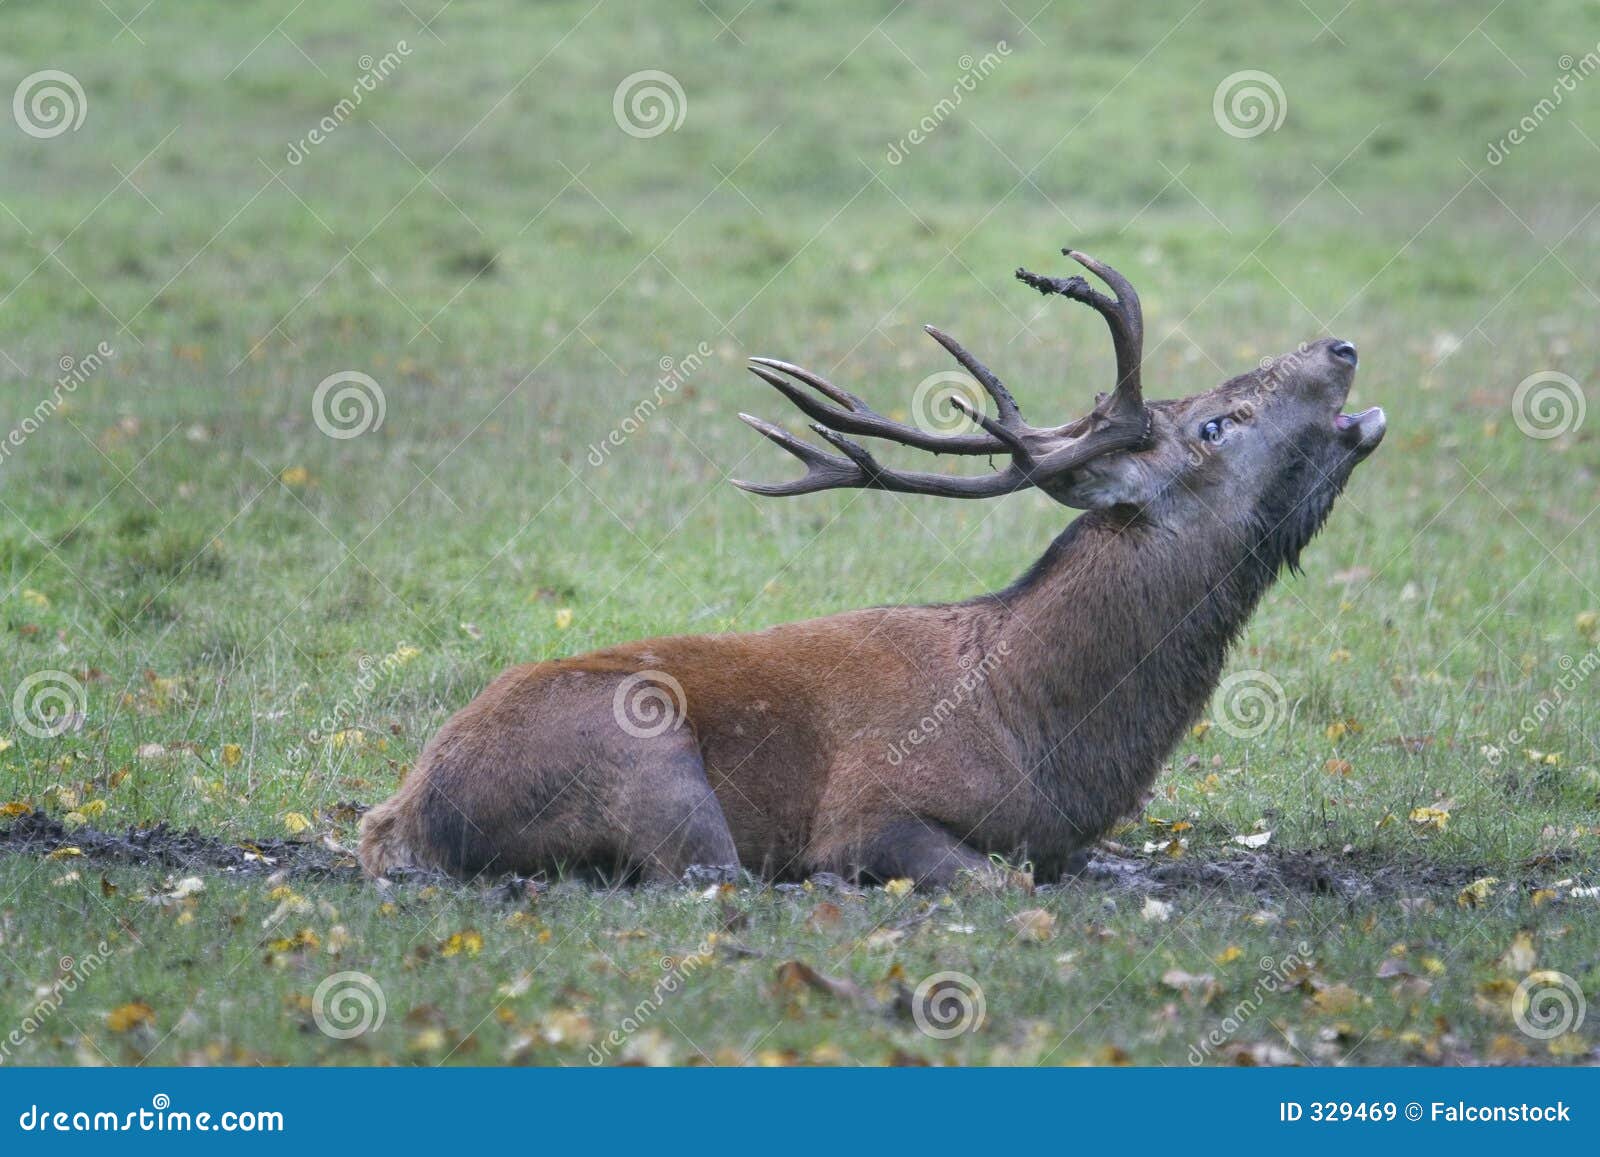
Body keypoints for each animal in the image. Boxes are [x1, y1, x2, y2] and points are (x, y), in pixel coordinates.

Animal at [359, 250, 1385, 889]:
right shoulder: (869, 808)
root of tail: (399, 819)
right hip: (641, 750)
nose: (1341, 345)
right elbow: (992, 881)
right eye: (1217, 424)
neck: (1046, 739)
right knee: (705, 871)